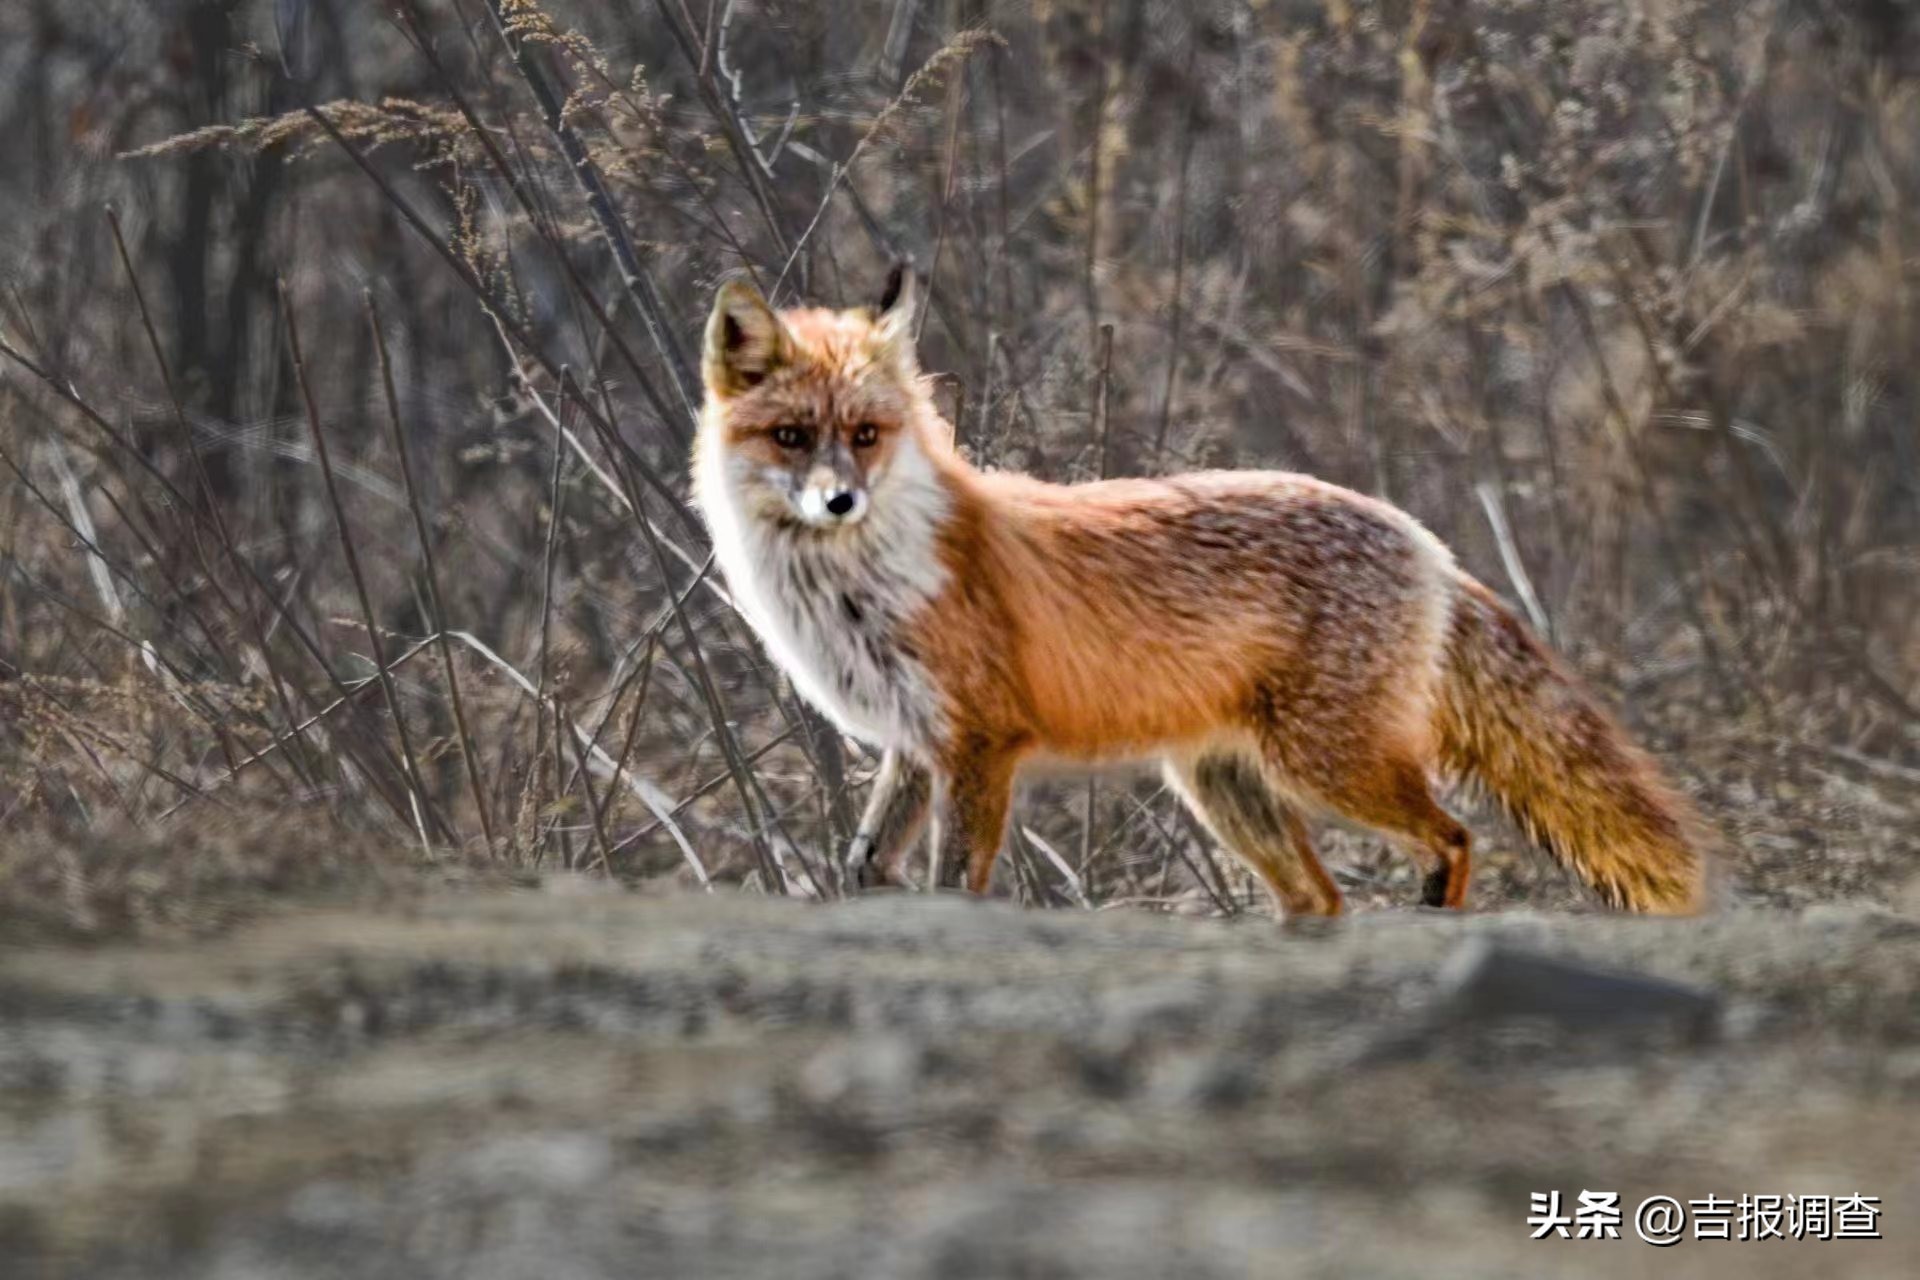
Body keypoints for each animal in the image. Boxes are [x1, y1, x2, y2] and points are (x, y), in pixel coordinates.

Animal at [691, 264, 1710, 916]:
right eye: (792, 437)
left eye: (866, 434)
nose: (840, 501)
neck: (856, 586)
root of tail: (1426, 541)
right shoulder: (915, 744)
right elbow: (864, 871)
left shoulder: (980, 742)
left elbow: (956, 886)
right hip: (1227, 786)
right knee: (1323, 897)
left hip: (1325, 763)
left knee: (1454, 838)